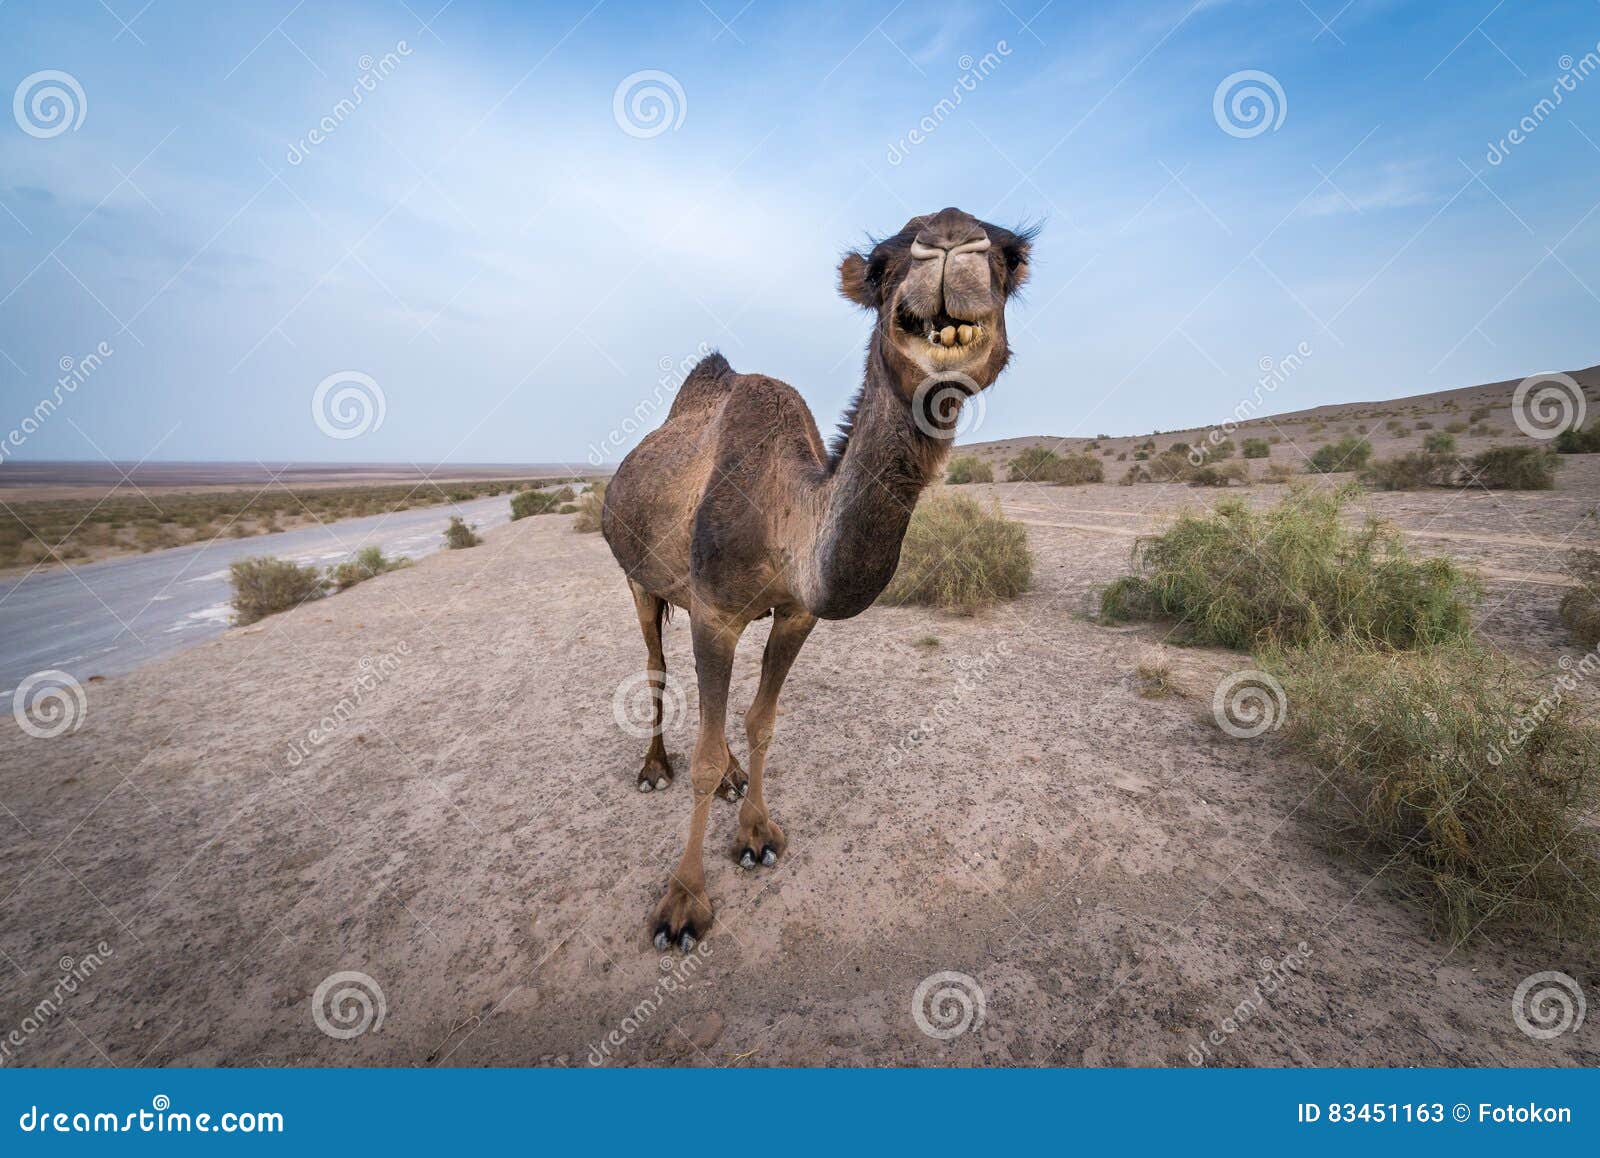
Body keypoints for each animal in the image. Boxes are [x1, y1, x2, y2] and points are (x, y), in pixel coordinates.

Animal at [601, 207, 1034, 950]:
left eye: (1011, 257)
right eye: (880, 265)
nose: (952, 241)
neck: (788, 515)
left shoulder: (796, 614)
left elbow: (760, 722)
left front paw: (755, 833)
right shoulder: (715, 612)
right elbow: (705, 753)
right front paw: (684, 903)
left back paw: (732, 781)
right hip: (638, 577)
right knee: (654, 668)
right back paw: (656, 768)